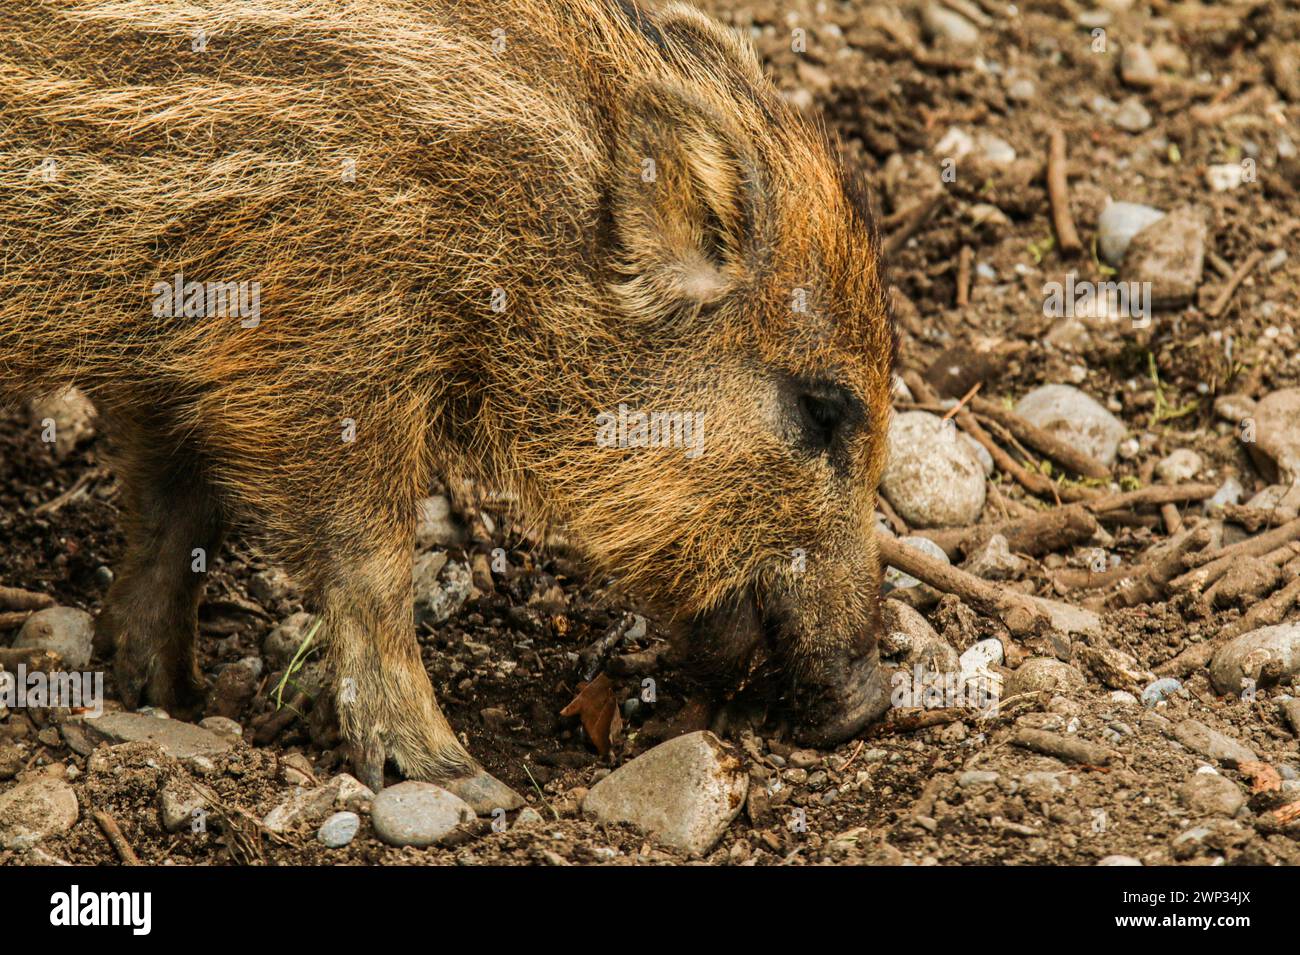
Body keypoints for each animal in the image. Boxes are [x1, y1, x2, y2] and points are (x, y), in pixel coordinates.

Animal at [0, 0, 896, 808]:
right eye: (821, 407)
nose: (870, 704)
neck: (512, 229)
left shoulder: (179, 353)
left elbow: (178, 502)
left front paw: (162, 692)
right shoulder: (334, 353)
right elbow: (368, 564)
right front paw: (453, 777)